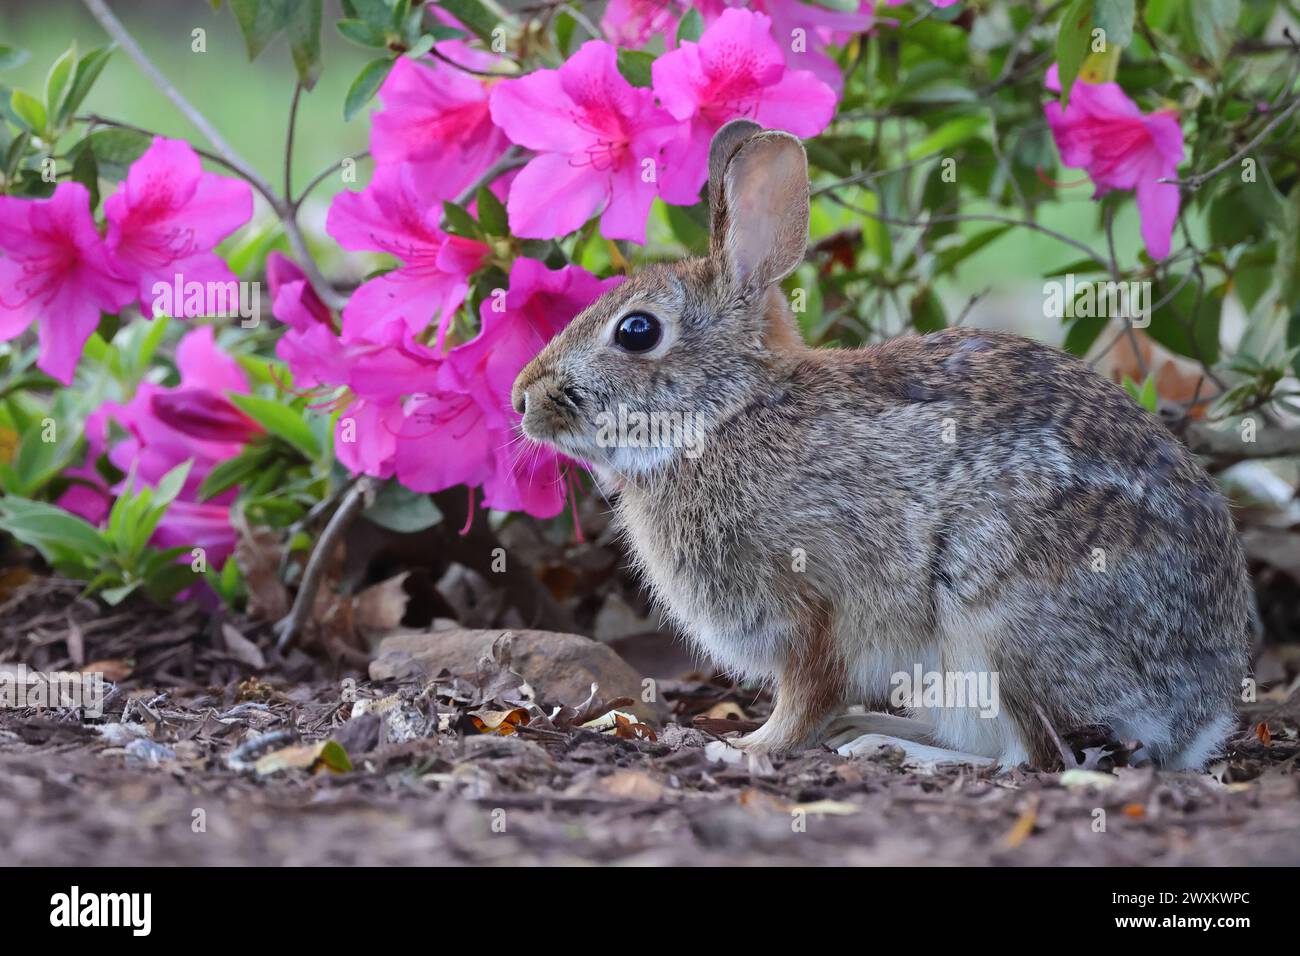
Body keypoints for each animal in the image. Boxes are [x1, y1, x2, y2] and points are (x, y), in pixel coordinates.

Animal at [511, 119, 1251, 770]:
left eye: (637, 332)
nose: (521, 398)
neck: (729, 414)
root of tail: (1196, 715)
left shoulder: (813, 610)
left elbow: (805, 697)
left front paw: (747, 746)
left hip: (996, 627)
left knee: (1032, 756)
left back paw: (889, 747)